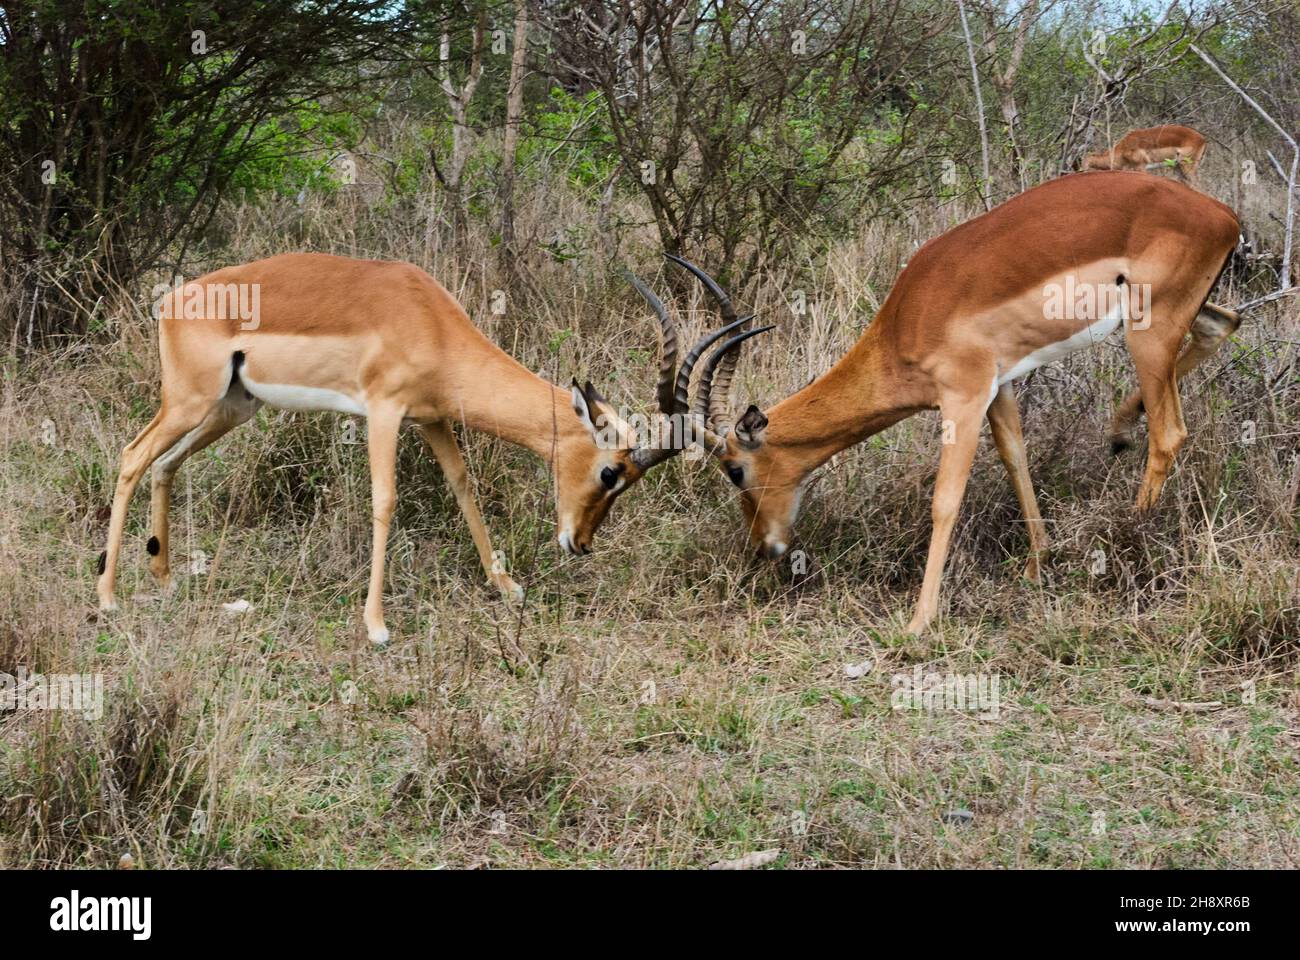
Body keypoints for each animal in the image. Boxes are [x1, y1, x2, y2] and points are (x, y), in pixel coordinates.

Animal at [95, 252, 757, 644]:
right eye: (610, 473)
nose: (580, 543)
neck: (430, 320)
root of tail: (171, 301)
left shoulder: (432, 419)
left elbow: (464, 489)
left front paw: (507, 587)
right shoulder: (384, 413)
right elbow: (385, 501)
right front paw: (376, 625)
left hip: (229, 407)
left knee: (163, 465)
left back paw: (164, 579)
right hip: (190, 402)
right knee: (131, 457)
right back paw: (107, 598)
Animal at [679, 171, 1241, 635]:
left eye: (734, 470)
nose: (763, 548)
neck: (910, 316)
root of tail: (1225, 215)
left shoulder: (963, 398)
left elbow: (945, 500)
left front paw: (918, 623)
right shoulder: (999, 387)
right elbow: (1016, 458)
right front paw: (1037, 565)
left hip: (1149, 331)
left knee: (1170, 433)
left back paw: (1127, 535)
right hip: (1176, 320)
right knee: (1224, 324)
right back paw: (1120, 429)